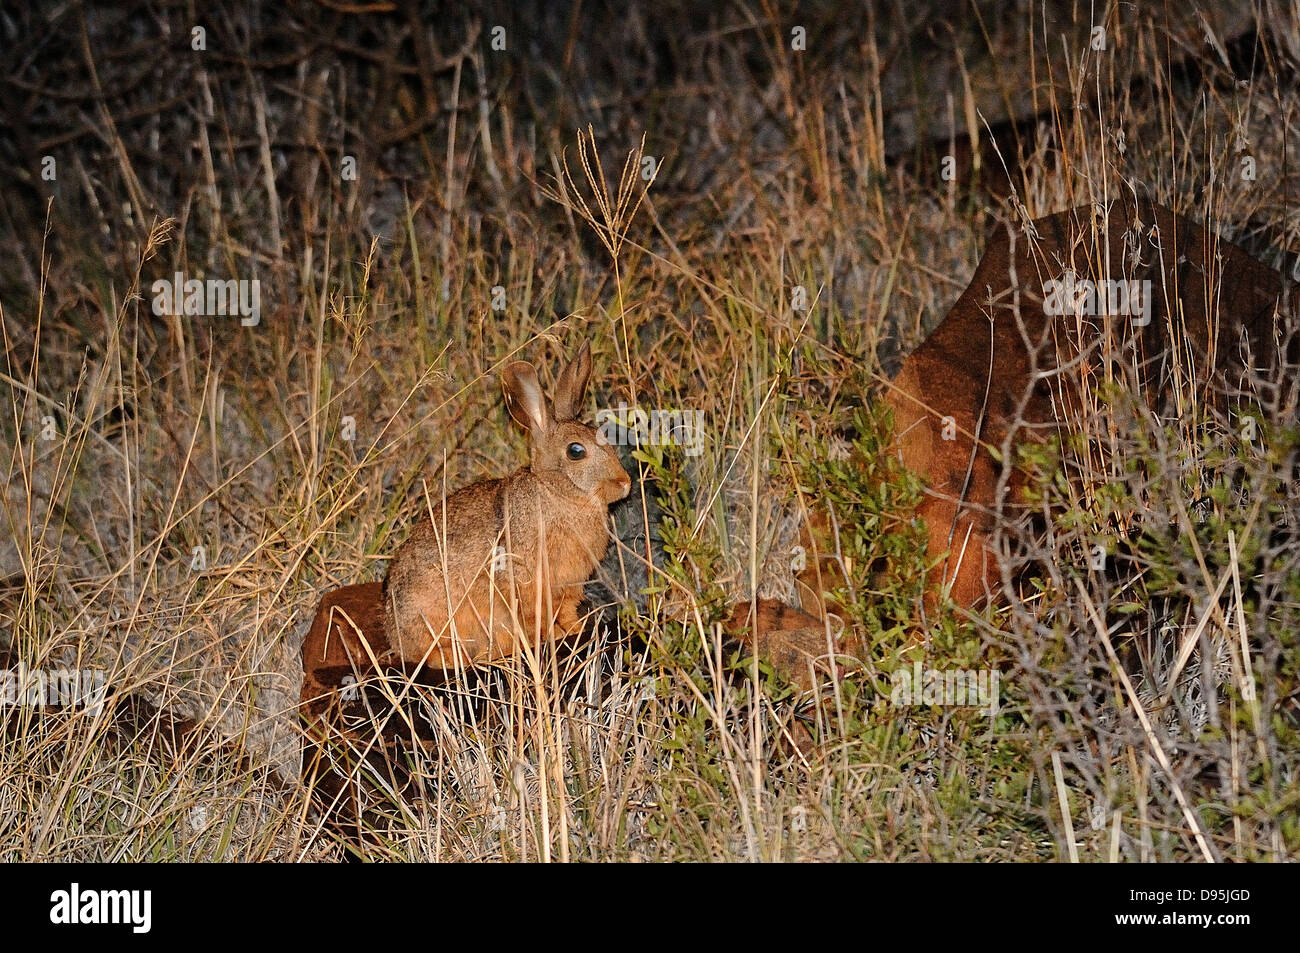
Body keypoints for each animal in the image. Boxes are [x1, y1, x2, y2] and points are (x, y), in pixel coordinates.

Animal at [379, 343, 631, 670]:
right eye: (576, 451)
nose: (625, 482)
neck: (556, 493)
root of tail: (394, 636)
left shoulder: (568, 588)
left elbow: (564, 613)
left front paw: (574, 631)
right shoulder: (528, 585)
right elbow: (537, 619)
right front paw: (551, 638)